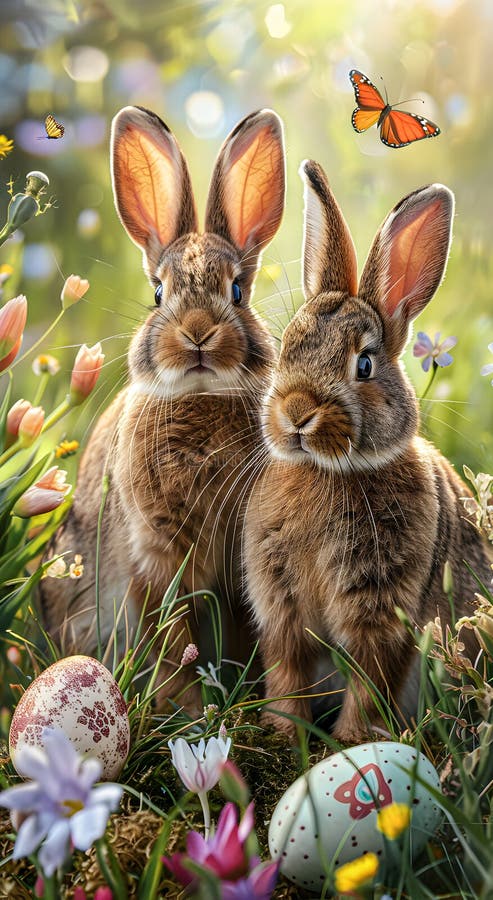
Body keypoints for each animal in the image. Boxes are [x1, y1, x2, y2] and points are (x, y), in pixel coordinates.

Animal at [40, 105, 285, 713]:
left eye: (238, 290)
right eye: (157, 294)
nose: (196, 333)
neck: (201, 397)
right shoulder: (153, 557)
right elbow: (171, 642)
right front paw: (190, 712)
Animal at [244, 159, 492, 745]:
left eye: (364, 364)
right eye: (288, 346)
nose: (296, 411)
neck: (327, 471)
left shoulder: (383, 612)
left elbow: (371, 679)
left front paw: (353, 741)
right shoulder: (281, 607)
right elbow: (287, 668)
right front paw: (281, 731)